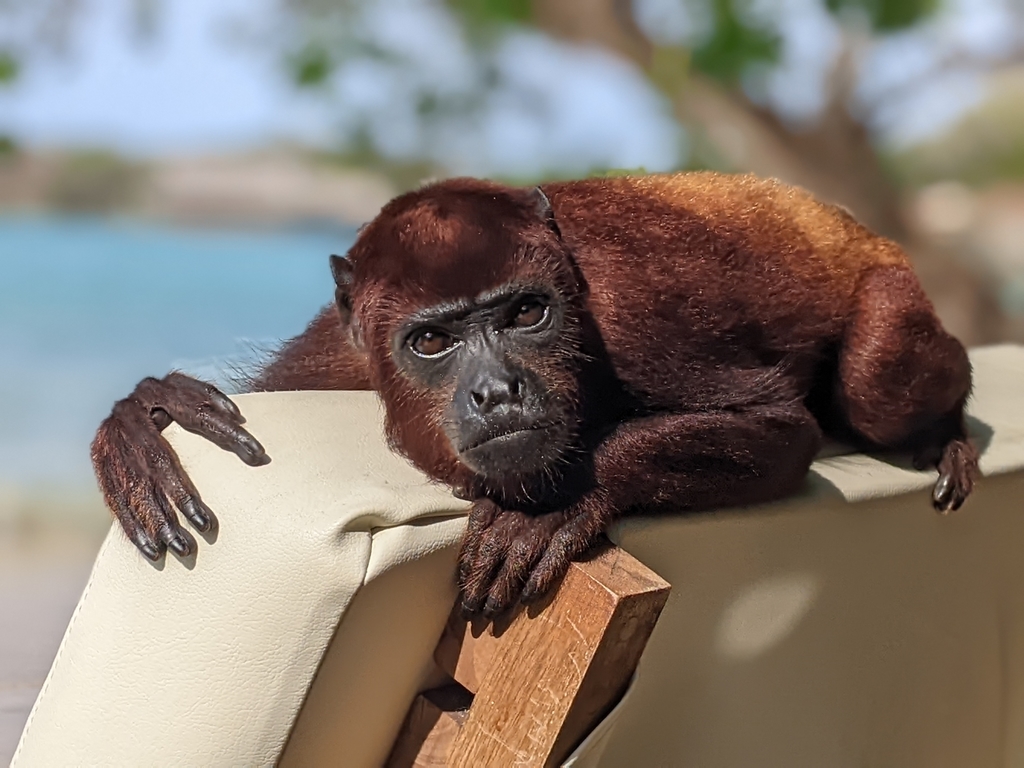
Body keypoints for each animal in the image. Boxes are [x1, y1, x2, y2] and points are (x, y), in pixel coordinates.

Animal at [91, 172, 978, 618]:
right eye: (432, 342)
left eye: (526, 315)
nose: (497, 391)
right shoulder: (341, 349)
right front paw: (146, 417)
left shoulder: (631, 307)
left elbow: (780, 431)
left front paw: (556, 503)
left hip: (890, 293)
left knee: (874, 379)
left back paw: (950, 433)